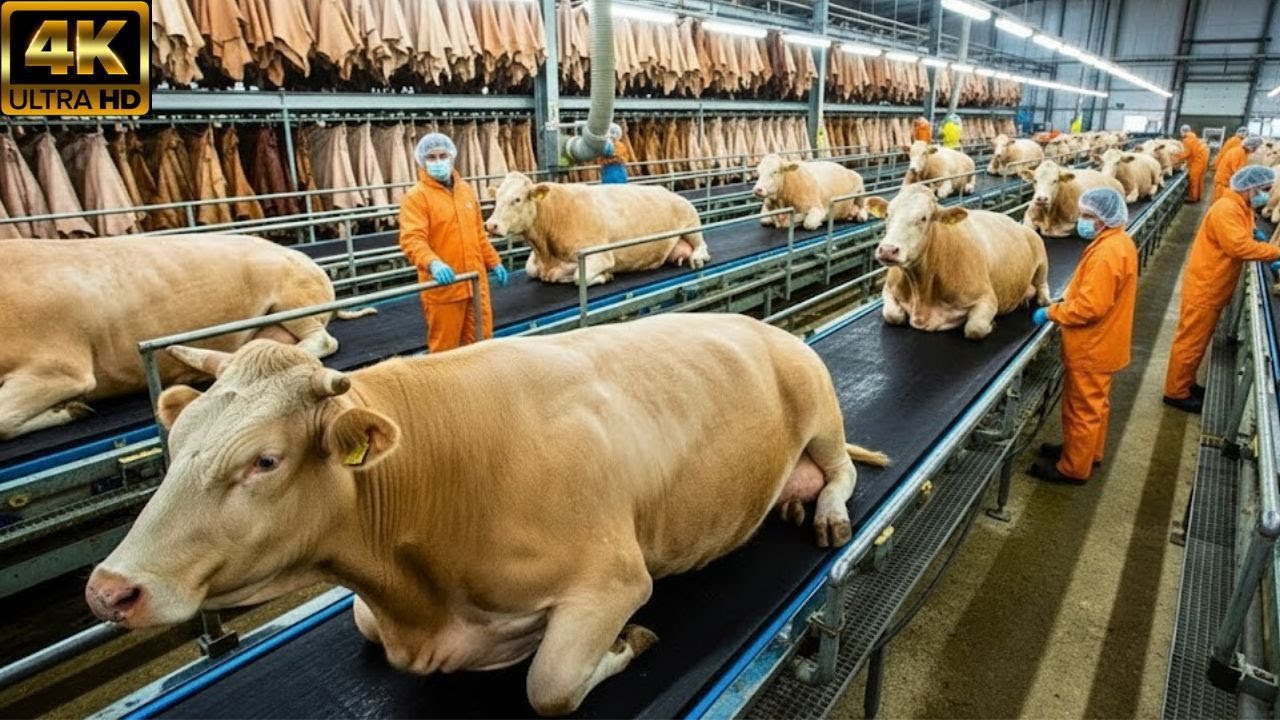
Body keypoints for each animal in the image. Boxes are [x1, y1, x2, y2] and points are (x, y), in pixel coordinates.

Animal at [0, 235, 374, 441]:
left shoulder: (60, 366)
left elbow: (3, 420)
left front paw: (73, 409)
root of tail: (307, 260)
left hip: (294, 299)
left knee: (323, 341)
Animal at [84, 313, 889, 716]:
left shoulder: (615, 578)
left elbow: (550, 687)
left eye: (265, 461)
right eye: (175, 443)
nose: (109, 590)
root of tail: (768, 328)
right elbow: (361, 625)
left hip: (819, 407)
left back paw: (826, 511)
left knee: (843, 469)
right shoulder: (382, 611)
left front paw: (627, 644)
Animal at [485, 172, 708, 286]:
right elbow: (530, 270)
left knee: (702, 246)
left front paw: (605, 276)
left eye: (517, 199)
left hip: (691, 224)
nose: (491, 225)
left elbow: (578, 277)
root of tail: (669, 191)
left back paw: (697, 258)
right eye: (496, 199)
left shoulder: (600, 256)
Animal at [866, 185, 1049, 340]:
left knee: (1042, 288)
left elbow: (975, 328)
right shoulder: (888, 289)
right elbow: (892, 315)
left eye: (924, 218)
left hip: (1041, 255)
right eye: (887, 214)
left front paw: (992, 324)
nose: (888, 249)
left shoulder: (987, 298)